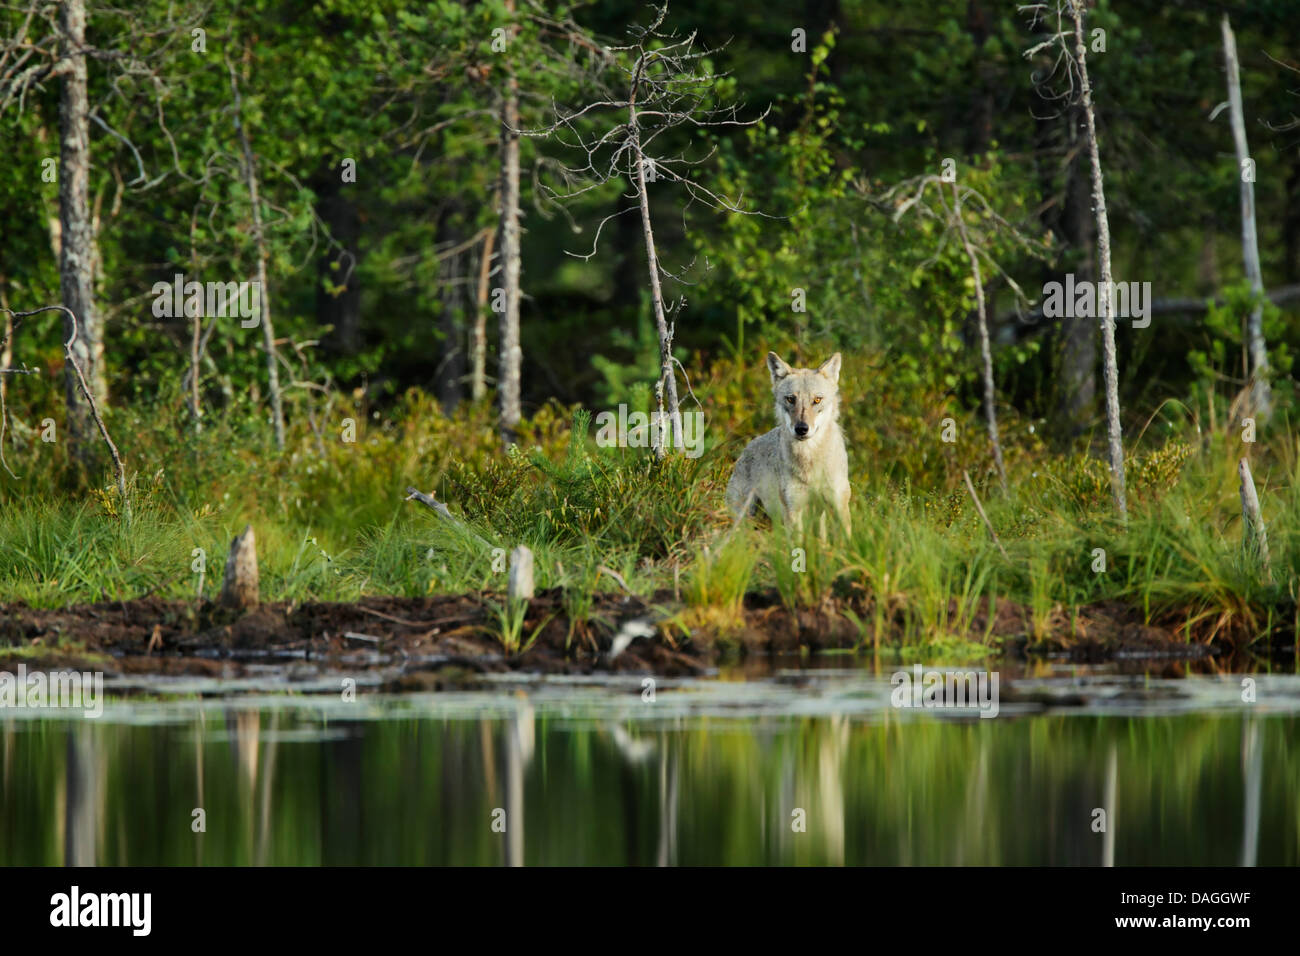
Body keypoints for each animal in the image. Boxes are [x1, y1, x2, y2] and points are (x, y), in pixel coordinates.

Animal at [725, 351, 851, 535]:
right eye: (791, 399)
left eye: (817, 400)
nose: (801, 429)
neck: (809, 461)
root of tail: (745, 450)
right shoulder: (793, 512)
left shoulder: (840, 507)